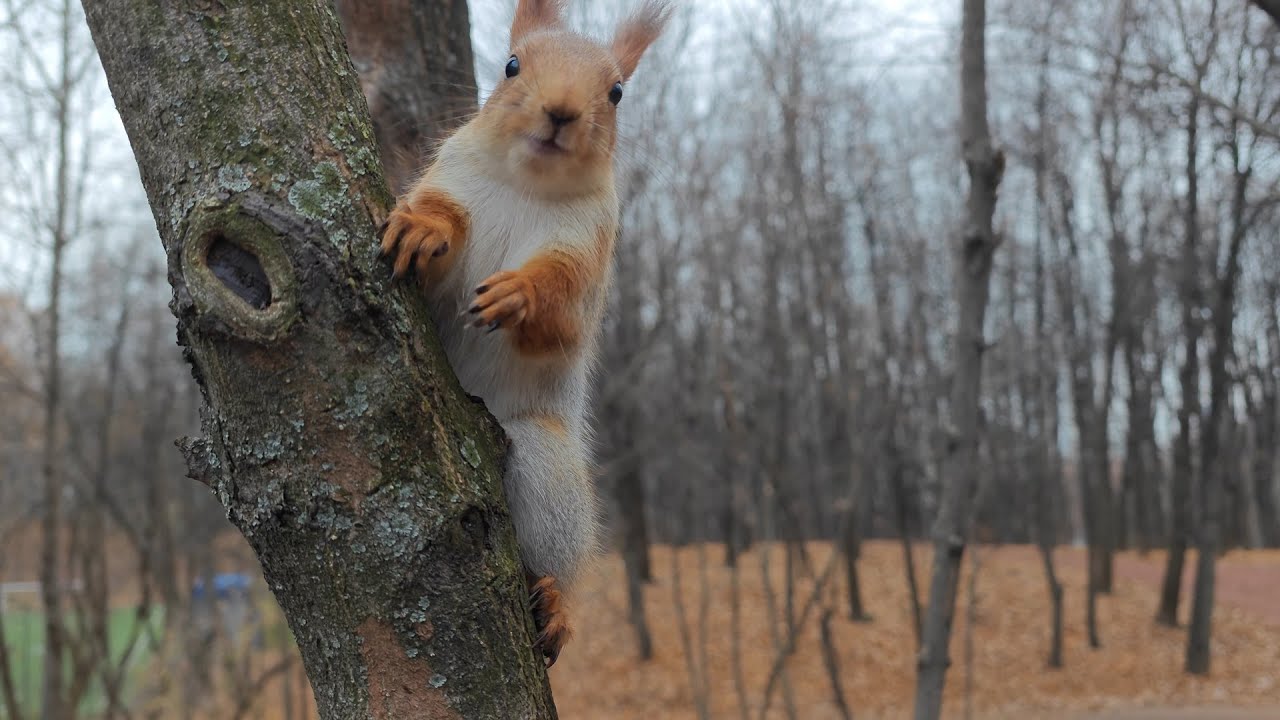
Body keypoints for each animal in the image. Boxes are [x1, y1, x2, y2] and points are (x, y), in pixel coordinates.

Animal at [378, 0, 669, 666]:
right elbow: (437, 239)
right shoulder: (453, 181)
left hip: (544, 466)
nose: (560, 109)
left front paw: (521, 294)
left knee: (550, 557)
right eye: (512, 66)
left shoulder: (588, 254)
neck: (526, 186)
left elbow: (559, 312)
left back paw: (555, 604)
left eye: (617, 92)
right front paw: (422, 228)